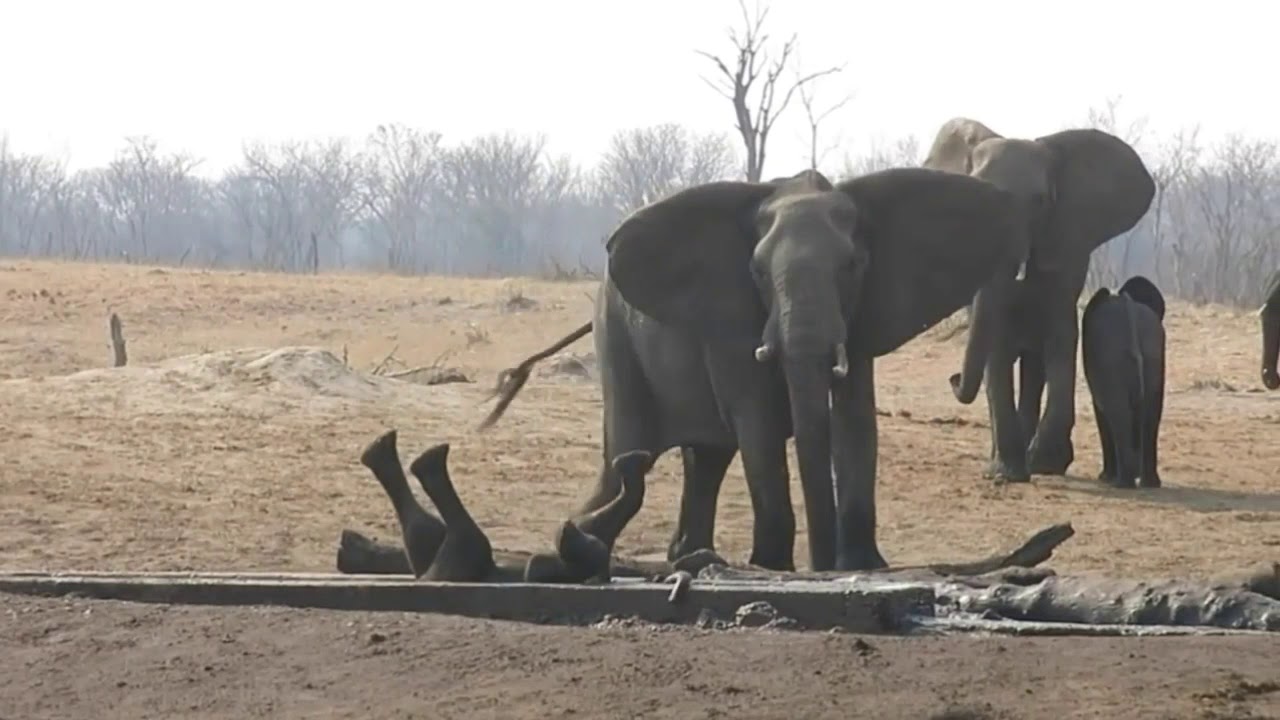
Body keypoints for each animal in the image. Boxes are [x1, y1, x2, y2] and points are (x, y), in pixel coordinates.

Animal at [480, 166, 1031, 572]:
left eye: (852, 267)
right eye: (758, 273)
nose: (822, 565)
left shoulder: (861, 317)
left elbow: (855, 420)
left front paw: (862, 566)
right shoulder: (732, 320)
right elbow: (759, 421)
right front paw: (773, 566)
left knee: (706, 457)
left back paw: (687, 555)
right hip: (616, 338)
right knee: (629, 454)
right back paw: (585, 536)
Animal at [923, 118, 1156, 482]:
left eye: (1040, 201)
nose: (953, 378)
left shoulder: (1066, 246)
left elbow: (1060, 339)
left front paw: (1046, 464)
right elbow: (997, 348)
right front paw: (1006, 473)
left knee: (1035, 366)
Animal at [1081, 276, 1167, 489]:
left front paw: (1104, 477)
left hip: (1112, 360)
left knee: (1118, 412)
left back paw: (1122, 482)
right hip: (1154, 357)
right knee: (1151, 415)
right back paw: (1148, 483)